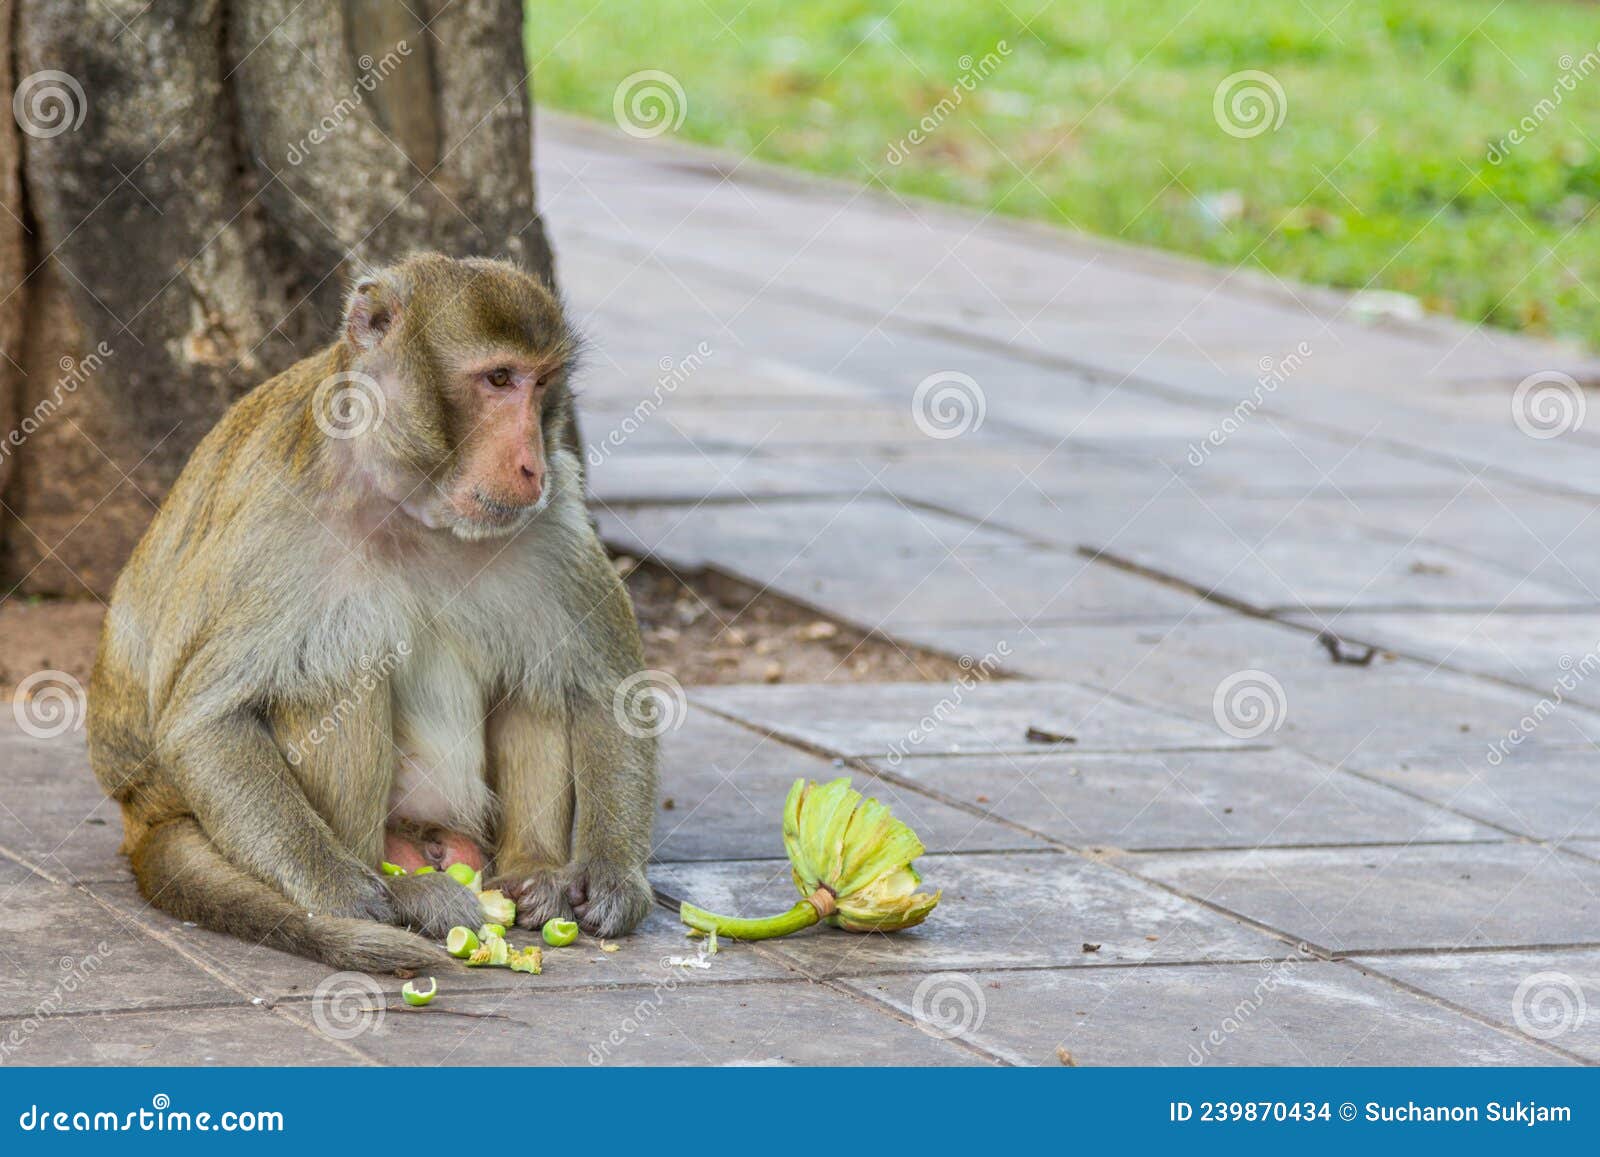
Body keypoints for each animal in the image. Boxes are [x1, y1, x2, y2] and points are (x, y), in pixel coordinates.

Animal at [87, 254, 658, 973]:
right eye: (499, 379)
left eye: (541, 383)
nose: (532, 465)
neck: (408, 503)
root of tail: (141, 811)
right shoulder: (280, 514)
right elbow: (207, 722)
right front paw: (348, 893)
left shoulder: (551, 521)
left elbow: (609, 689)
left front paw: (612, 874)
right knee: (333, 671)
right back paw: (399, 886)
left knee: (537, 673)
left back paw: (533, 871)